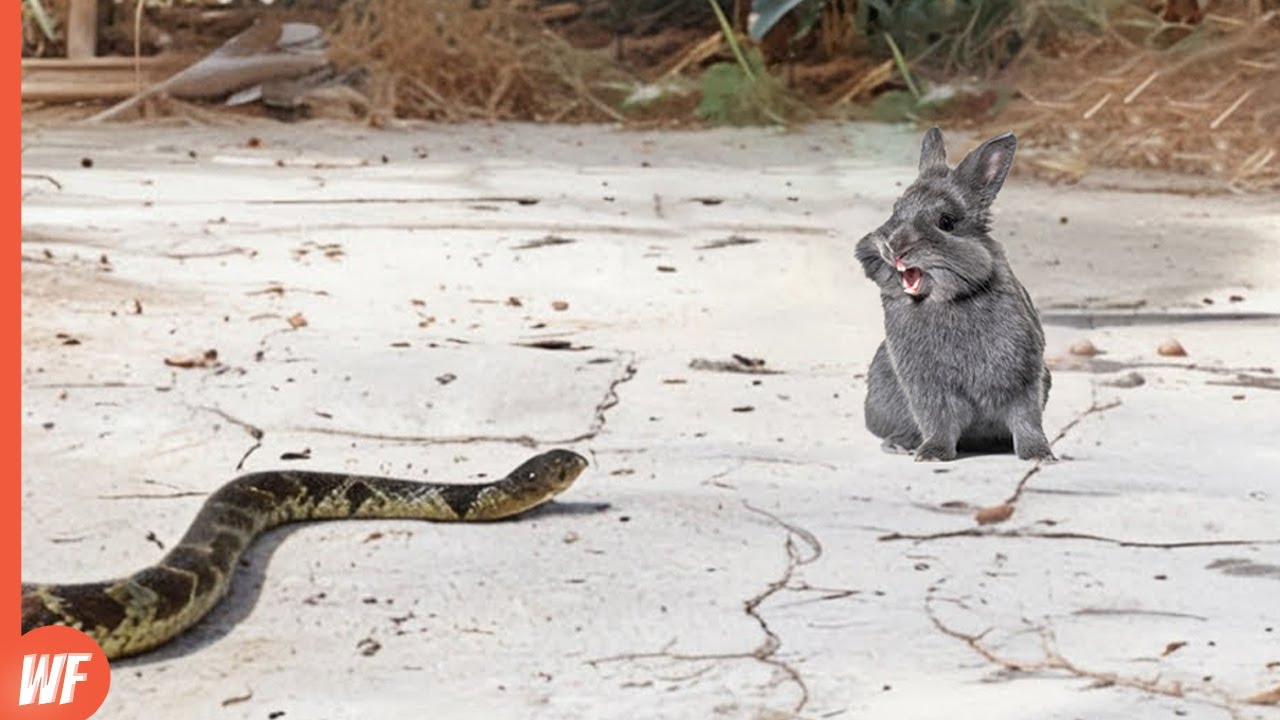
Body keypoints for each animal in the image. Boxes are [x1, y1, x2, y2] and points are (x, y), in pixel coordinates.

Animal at [855, 127, 1054, 462]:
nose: (895, 248)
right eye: (896, 211)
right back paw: (900, 444)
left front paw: (1038, 454)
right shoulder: (926, 387)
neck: (944, 300)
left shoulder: (1022, 377)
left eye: (946, 222)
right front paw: (932, 454)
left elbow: (1025, 419)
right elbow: (937, 421)